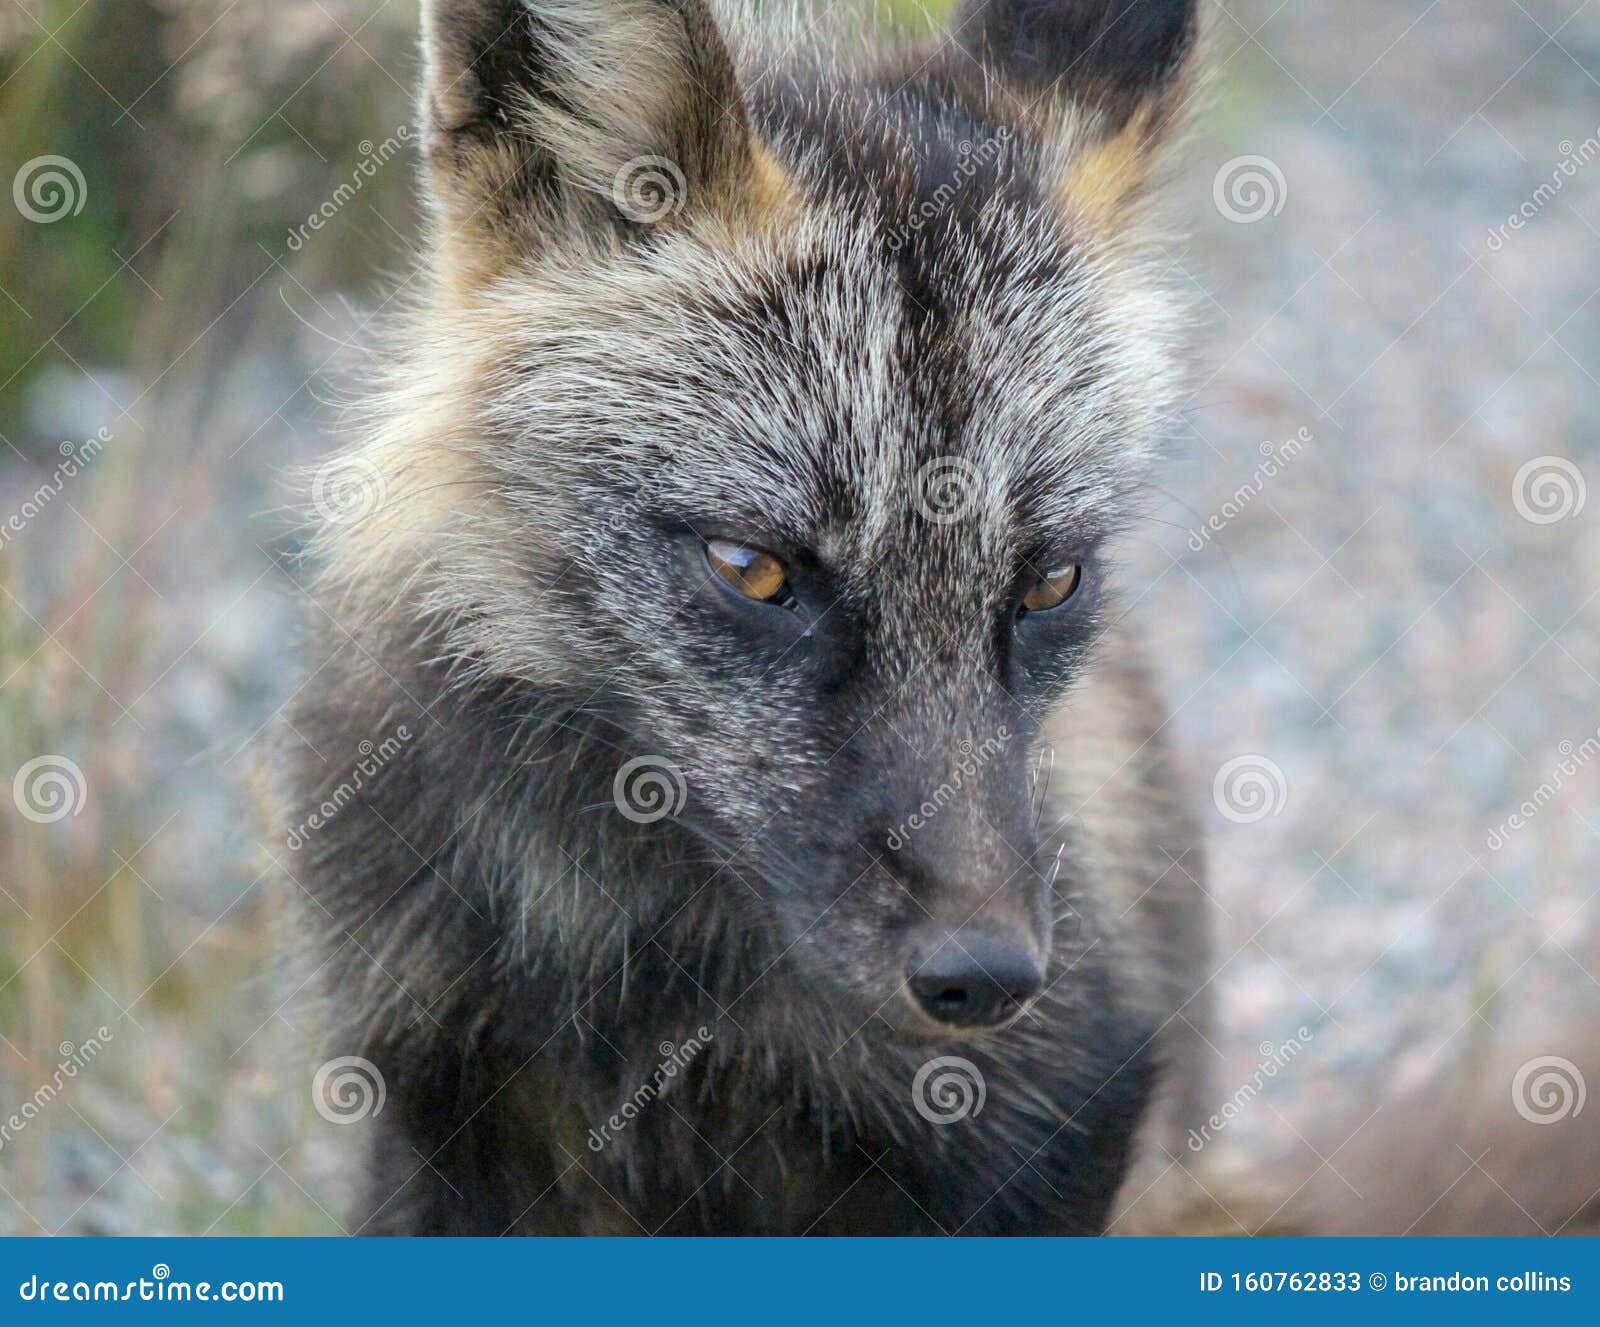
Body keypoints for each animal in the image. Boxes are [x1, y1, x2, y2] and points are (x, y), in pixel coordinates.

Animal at [279, 0, 1219, 1235]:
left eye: (1048, 584)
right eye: (756, 570)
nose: (986, 976)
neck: (630, 976)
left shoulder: (1058, 1118)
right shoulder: (431, 1099)